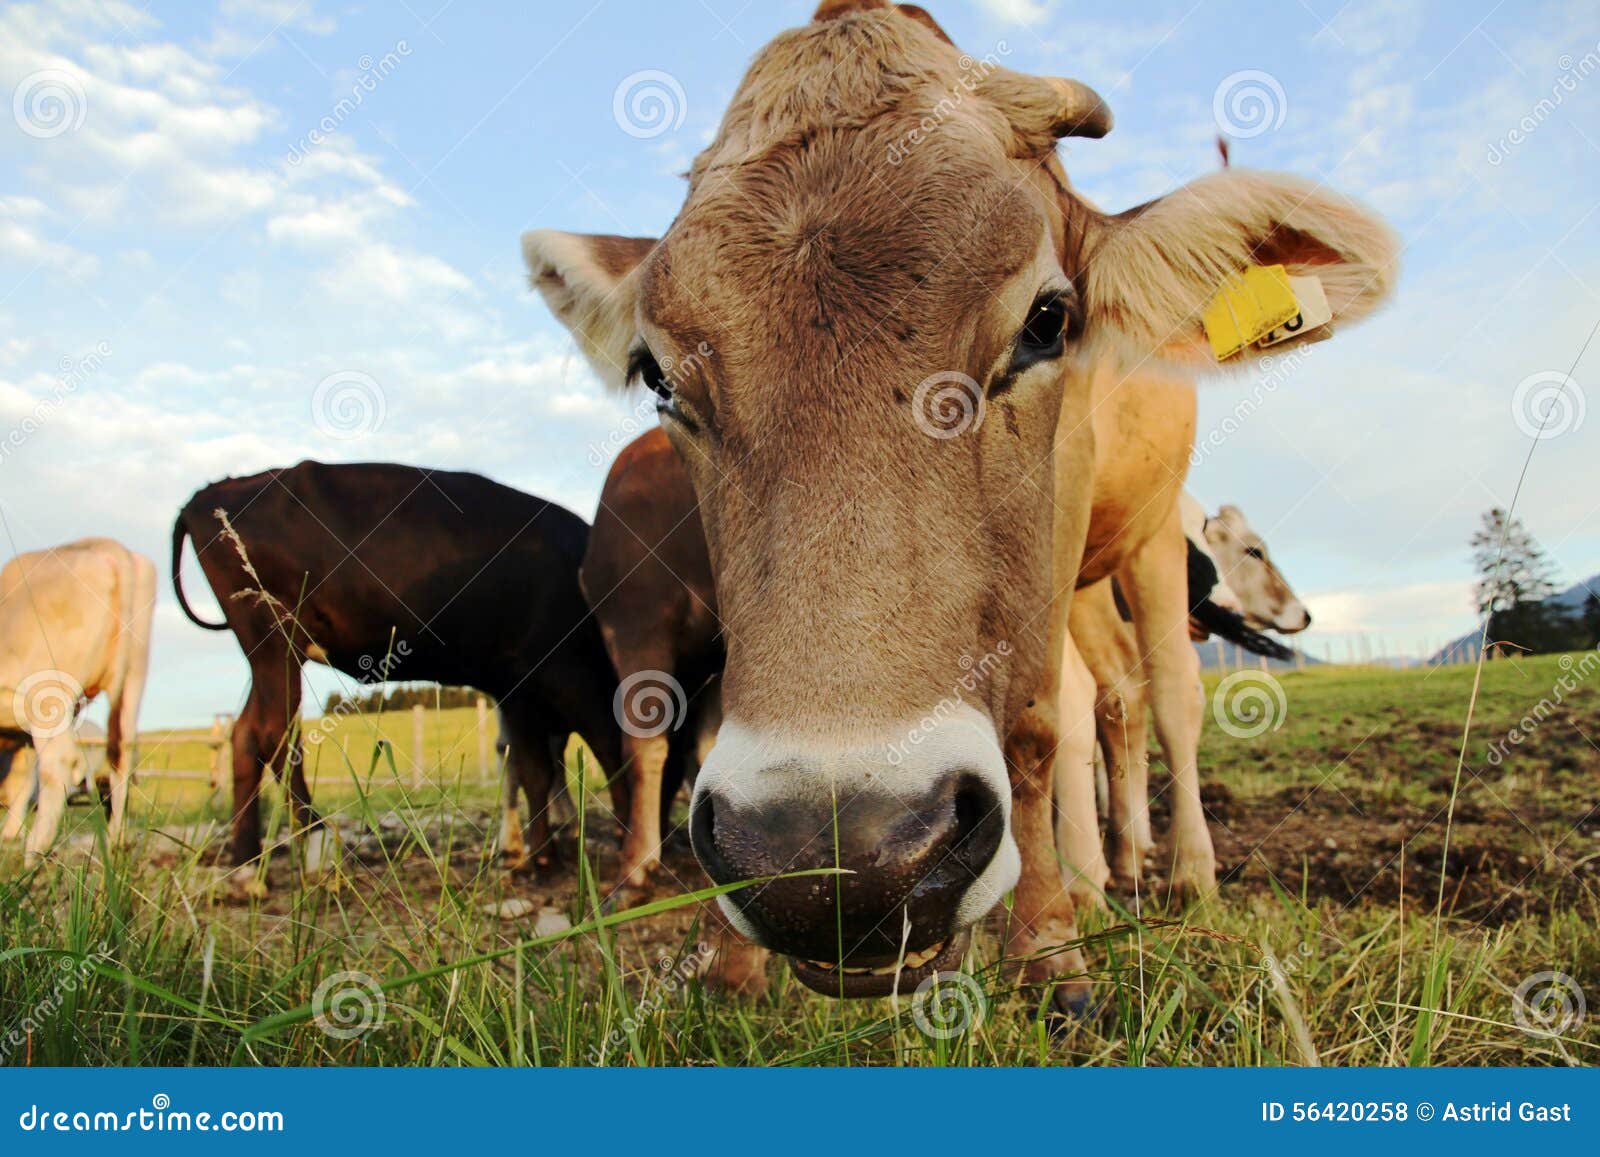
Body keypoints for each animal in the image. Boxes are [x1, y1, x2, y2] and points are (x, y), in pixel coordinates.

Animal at [0, 537, 155, 864]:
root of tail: (102, 546)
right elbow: (21, 780)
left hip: (46, 692)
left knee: (59, 760)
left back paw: (34, 850)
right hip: (133, 678)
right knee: (122, 752)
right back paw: (117, 840)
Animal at [171, 460, 623, 873]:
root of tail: (211, 492)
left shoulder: (519, 689)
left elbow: (532, 760)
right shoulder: (559, 677)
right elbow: (589, 754)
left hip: (268, 649)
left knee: (256, 734)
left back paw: (249, 860)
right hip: (273, 637)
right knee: (270, 732)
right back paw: (308, 846)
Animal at [523, 0, 1395, 1010]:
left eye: (1050, 320)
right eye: (658, 376)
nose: (836, 861)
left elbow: (1038, 721)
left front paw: (1052, 952)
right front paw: (725, 959)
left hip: (1146, 536)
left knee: (1166, 693)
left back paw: (1179, 873)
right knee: (1114, 694)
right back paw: (1107, 869)